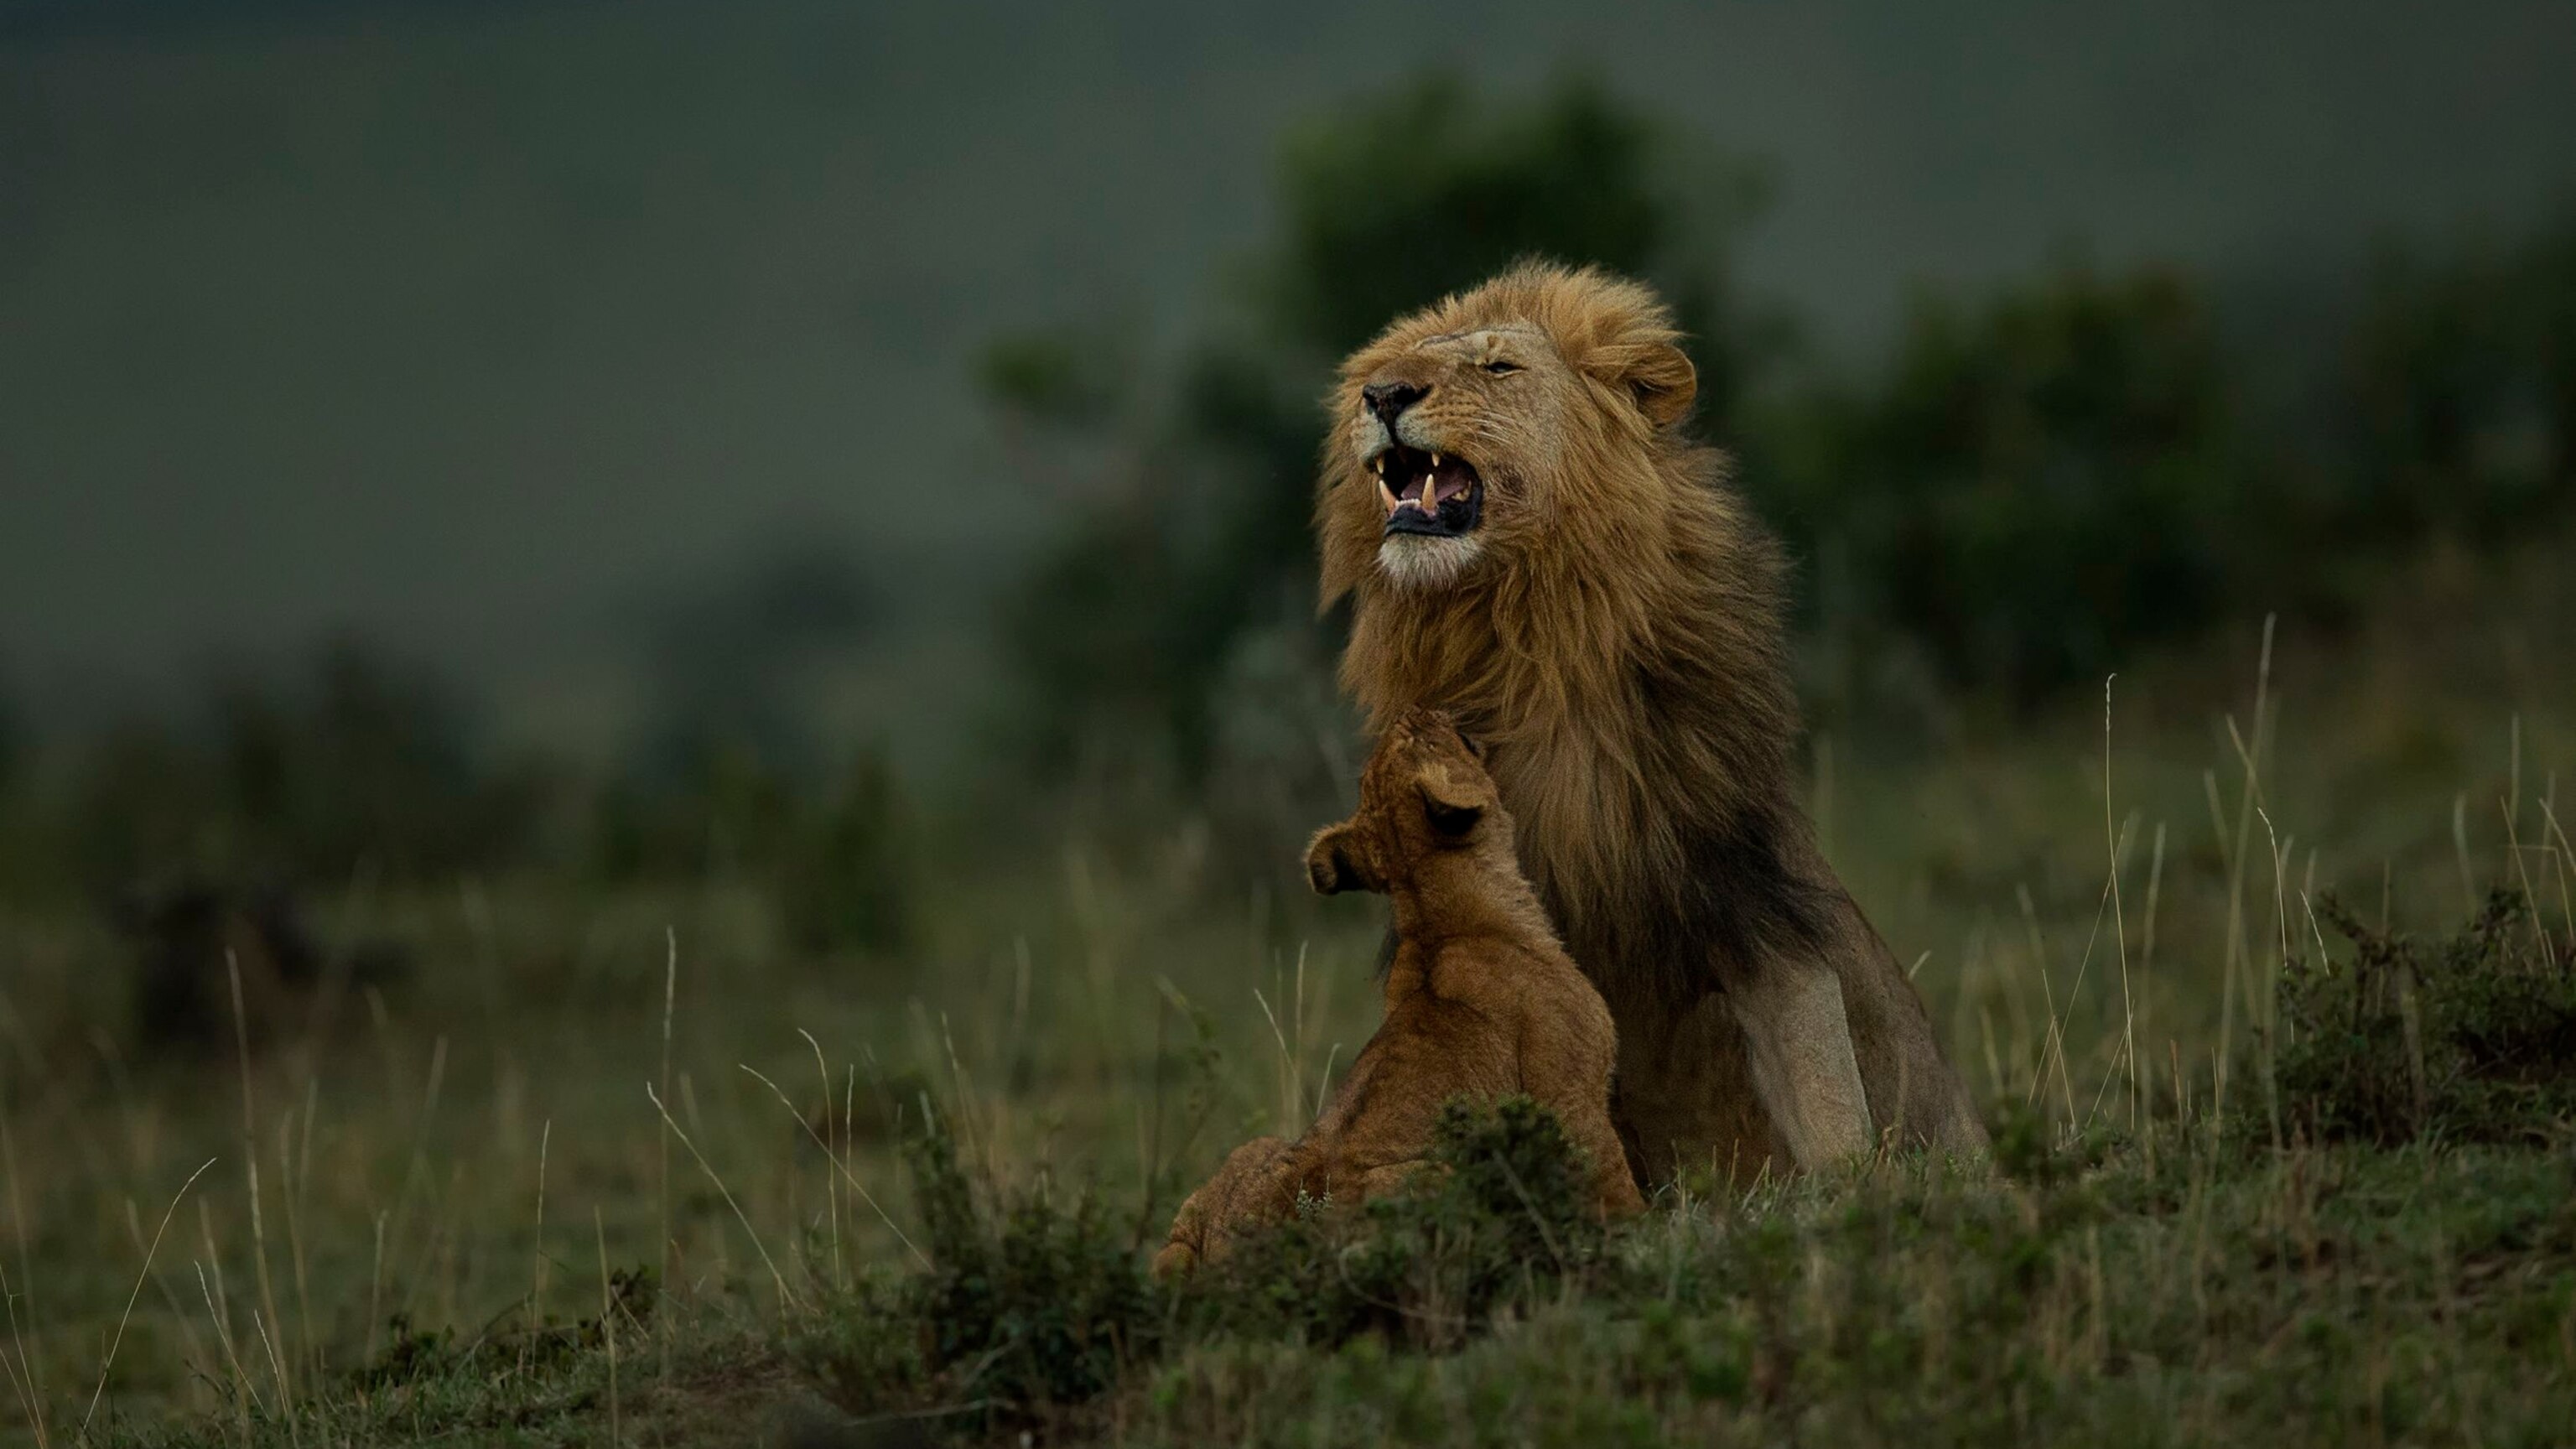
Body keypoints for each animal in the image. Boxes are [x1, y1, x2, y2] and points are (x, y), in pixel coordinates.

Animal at [1155, 708, 1641, 1277]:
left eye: (1373, 763)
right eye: (1421, 737)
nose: (1420, 709)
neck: (1436, 919)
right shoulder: (1572, 1095)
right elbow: (1616, 1185)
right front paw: (1656, 1238)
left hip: (1249, 1154)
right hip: (1443, 1175)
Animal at [1316, 262, 1987, 1180]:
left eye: (1498, 368)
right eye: (1387, 371)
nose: (1382, 394)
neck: (1520, 631)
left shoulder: (1761, 915)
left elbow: (1827, 1105)